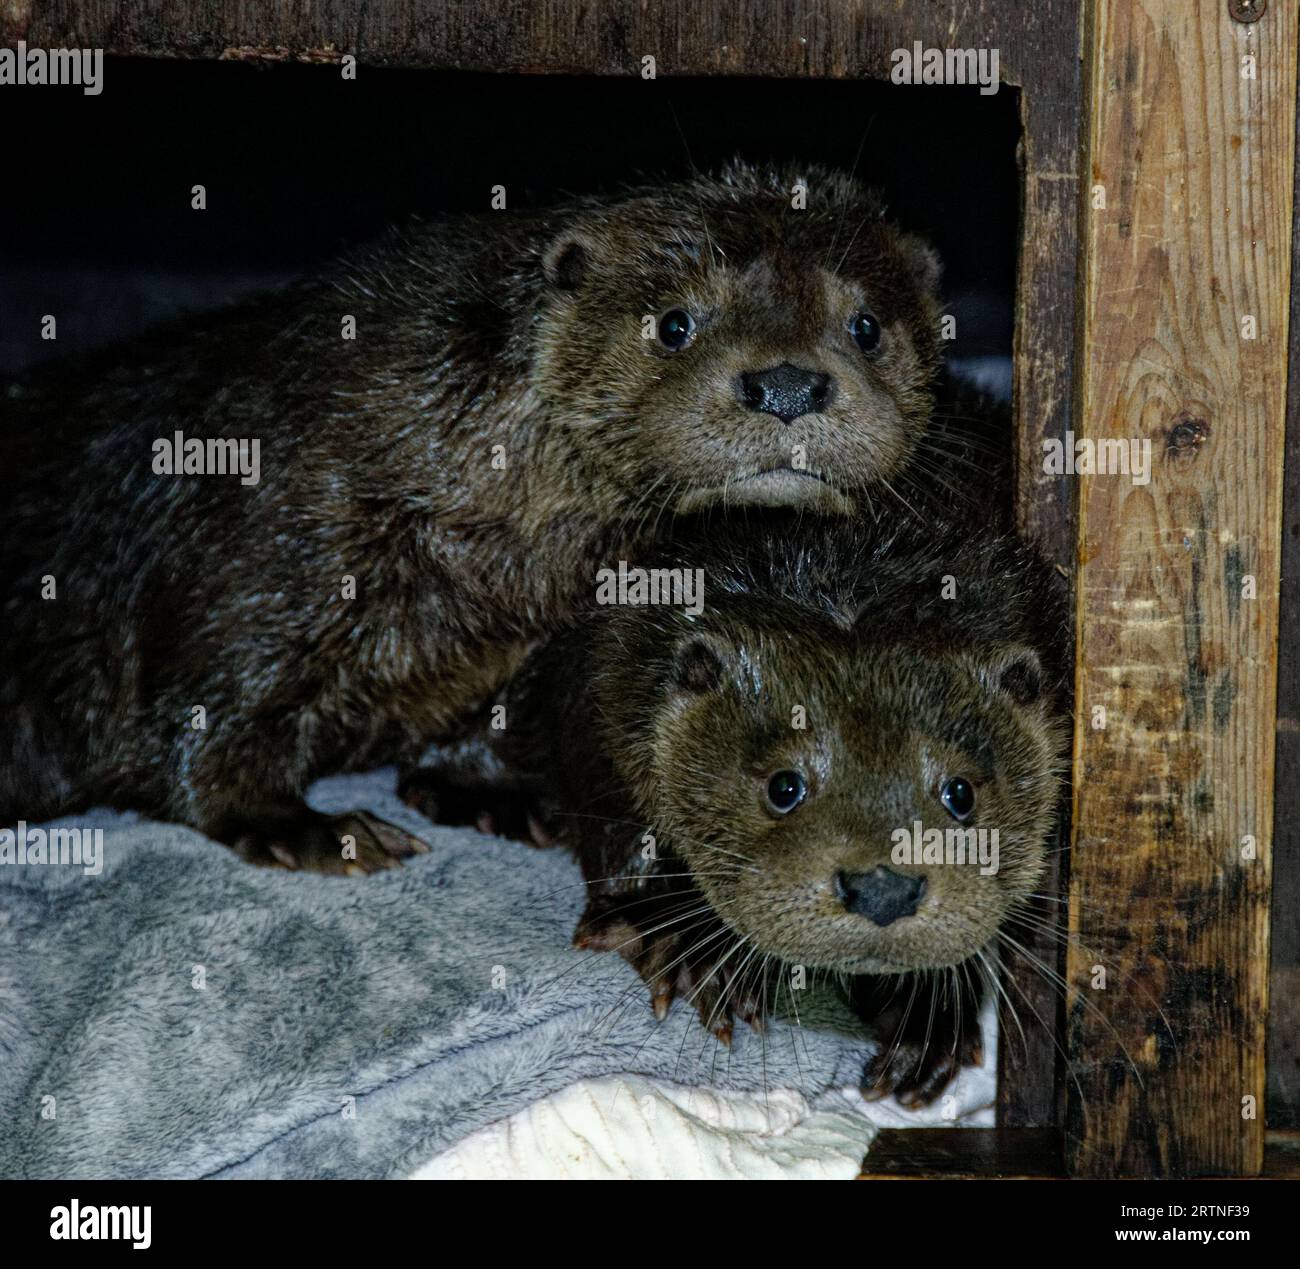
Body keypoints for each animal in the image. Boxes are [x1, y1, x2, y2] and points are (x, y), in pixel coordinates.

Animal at [1, 161, 962, 871]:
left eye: (867, 325)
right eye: (674, 323)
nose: (789, 383)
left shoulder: (530, 636)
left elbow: (493, 717)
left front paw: (492, 793)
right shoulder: (272, 542)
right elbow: (215, 700)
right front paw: (303, 826)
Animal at [401, 513, 1069, 1104]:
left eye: (961, 793)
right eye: (784, 787)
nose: (884, 888)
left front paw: (926, 1020)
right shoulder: (607, 673)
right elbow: (616, 815)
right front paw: (679, 941)